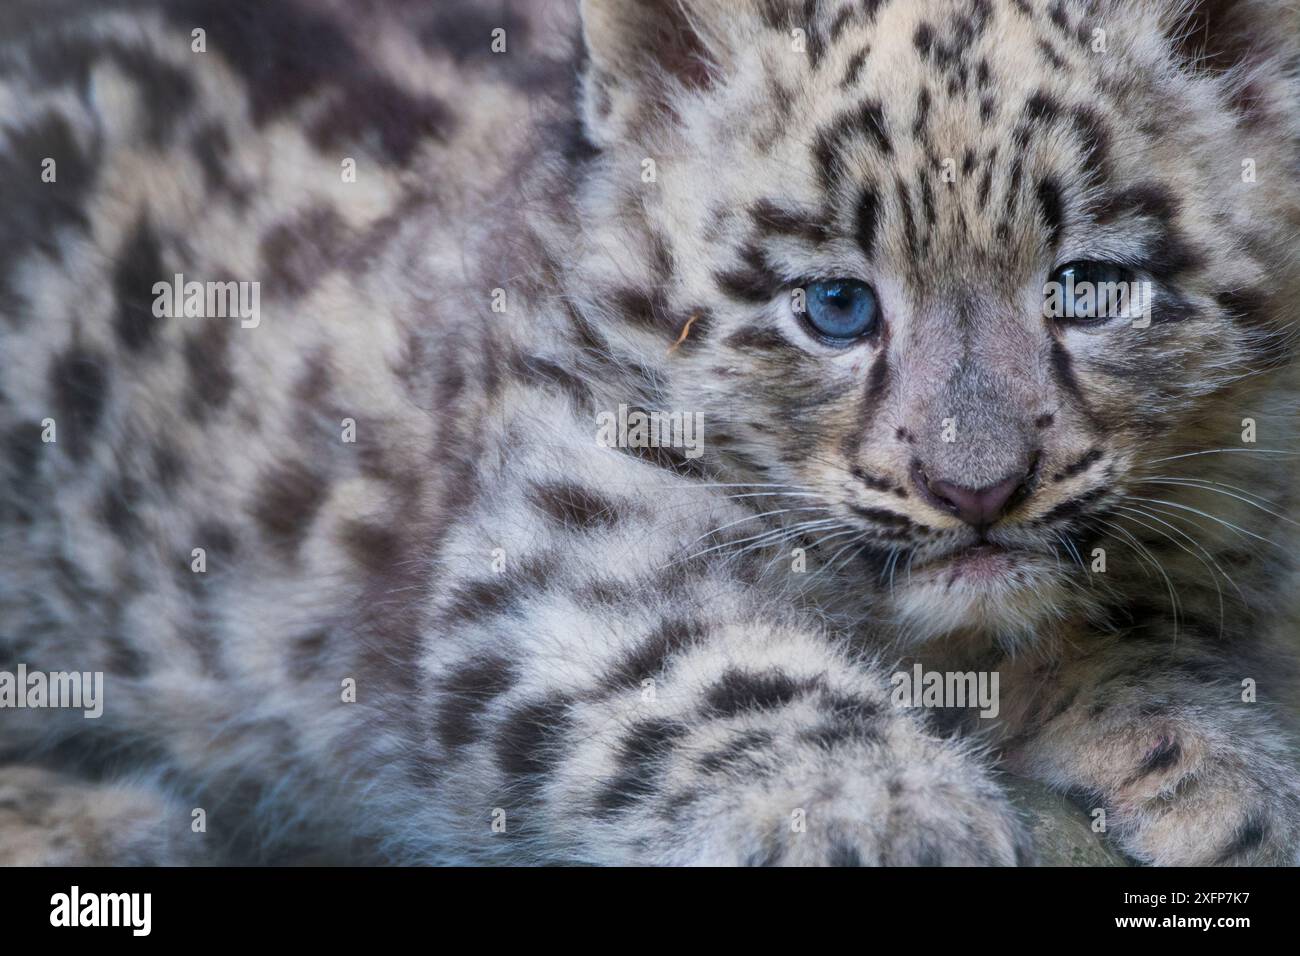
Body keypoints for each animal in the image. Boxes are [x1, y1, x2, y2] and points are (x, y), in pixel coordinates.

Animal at [2, 0, 1299, 866]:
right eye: (834, 303)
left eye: (1087, 286)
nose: (975, 487)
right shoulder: (557, 553)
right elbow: (705, 673)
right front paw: (884, 810)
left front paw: (1213, 765)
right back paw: (106, 817)